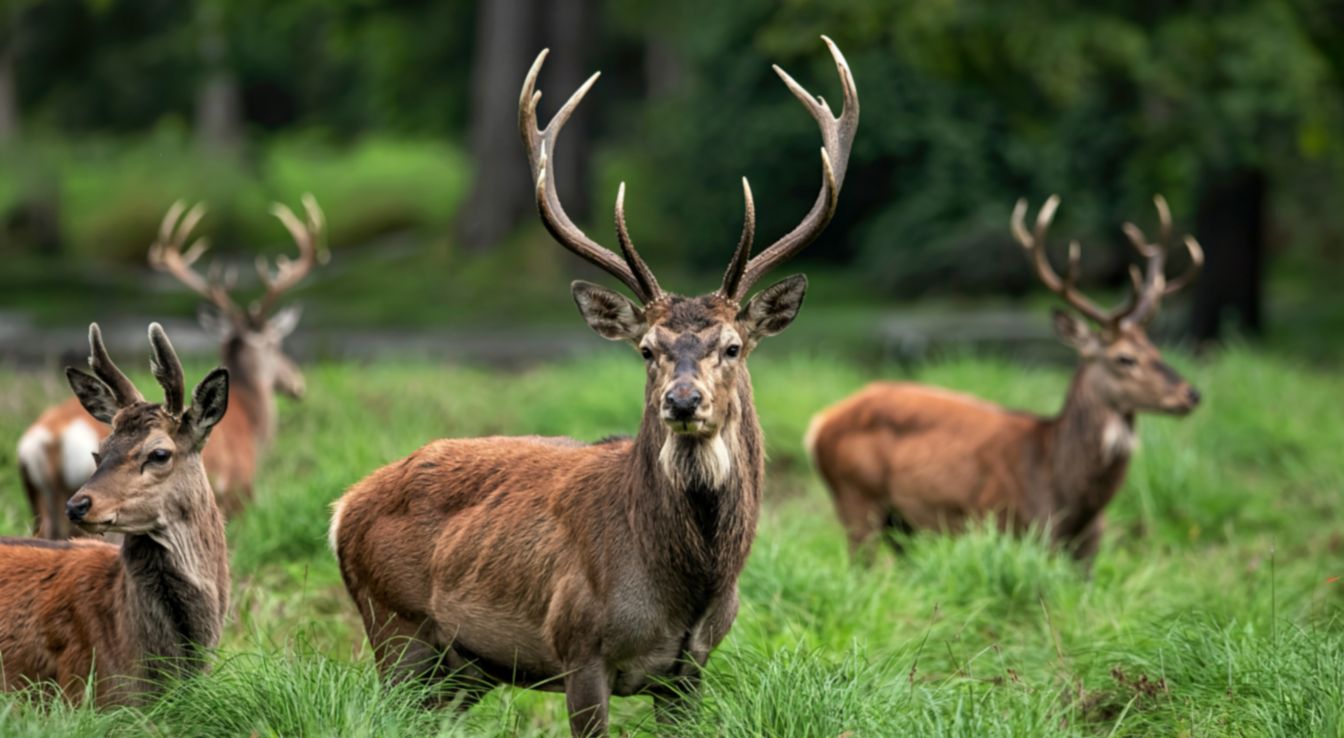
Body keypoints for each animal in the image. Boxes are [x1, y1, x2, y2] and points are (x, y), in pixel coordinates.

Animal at [16, 197, 326, 538]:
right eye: (276, 343)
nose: (297, 384)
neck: (251, 421)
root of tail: (46, 441)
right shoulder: (239, 493)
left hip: (39, 504)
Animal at [330, 37, 857, 737]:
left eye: (732, 346)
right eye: (647, 349)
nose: (681, 401)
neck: (687, 588)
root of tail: (341, 509)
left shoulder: (691, 667)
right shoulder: (578, 649)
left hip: (461, 668)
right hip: (396, 630)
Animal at [807, 195, 1203, 564]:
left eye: (1156, 348)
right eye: (1125, 358)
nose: (1191, 393)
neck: (1065, 496)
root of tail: (819, 424)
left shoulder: (1088, 548)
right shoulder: (1002, 524)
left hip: (901, 523)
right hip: (856, 498)